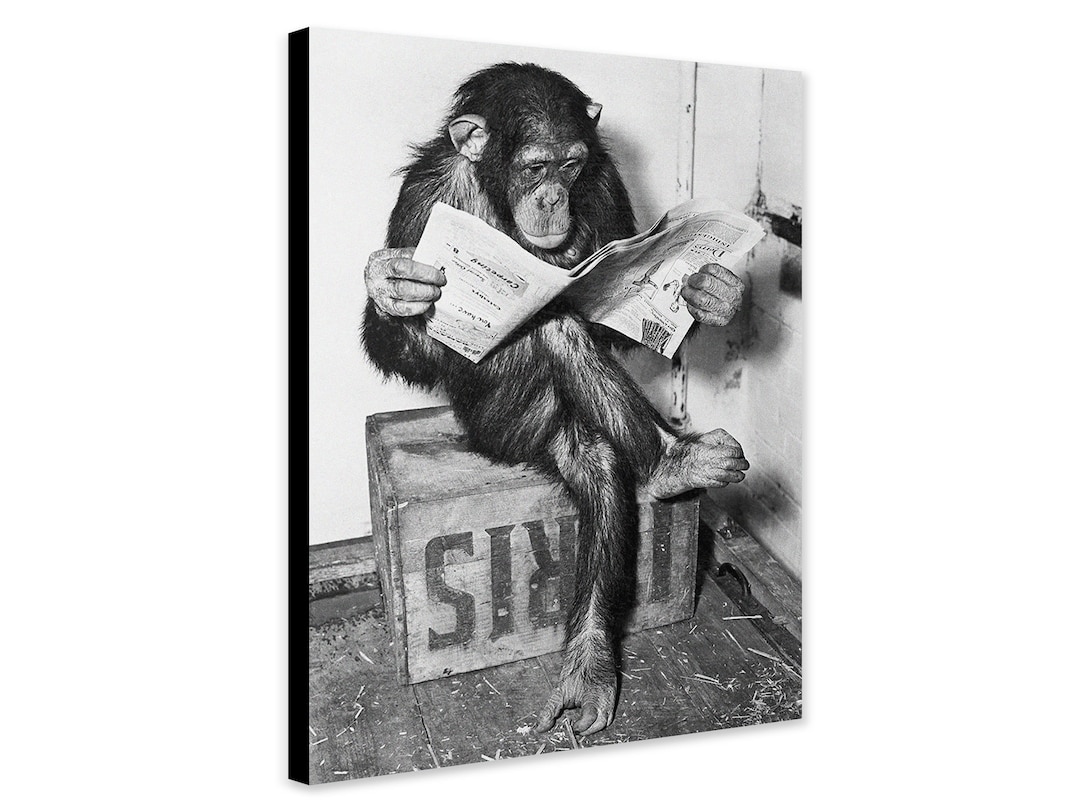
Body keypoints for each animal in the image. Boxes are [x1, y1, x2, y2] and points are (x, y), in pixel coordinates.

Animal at [362, 63, 749, 735]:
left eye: (570, 166)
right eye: (534, 166)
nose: (551, 197)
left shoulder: (607, 179)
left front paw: (711, 291)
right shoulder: (422, 197)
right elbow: (412, 347)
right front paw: (393, 285)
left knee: (599, 467)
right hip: (506, 427)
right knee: (553, 329)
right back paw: (672, 464)